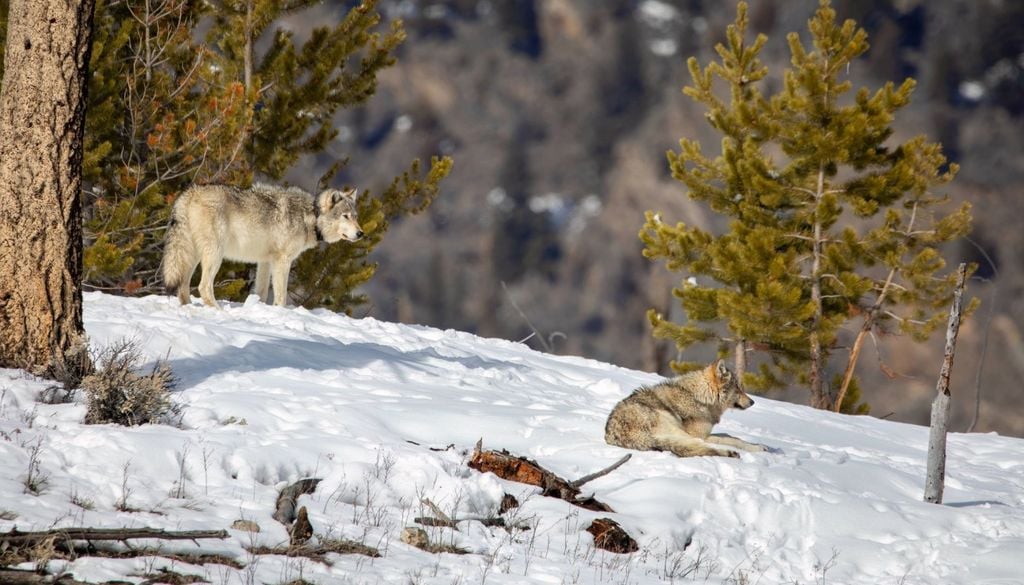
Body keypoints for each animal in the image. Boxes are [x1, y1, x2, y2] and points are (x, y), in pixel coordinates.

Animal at [162, 183, 363, 308]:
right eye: (345, 216)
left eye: (355, 216)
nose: (361, 233)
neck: (311, 216)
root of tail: (190, 191)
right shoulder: (282, 261)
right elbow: (281, 296)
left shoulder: (265, 262)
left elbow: (261, 293)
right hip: (214, 255)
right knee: (203, 286)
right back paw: (219, 311)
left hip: (193, 255)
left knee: (183, 286)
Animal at [605, 360, 766, 458]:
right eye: (738, 389)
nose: (753, 402)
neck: (700, 397)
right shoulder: (701, 435)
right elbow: (731, 439)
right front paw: (757, 448)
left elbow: (733, 436)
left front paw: (760, 446)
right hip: (677, 429)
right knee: (701, 447)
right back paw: (730, 453)